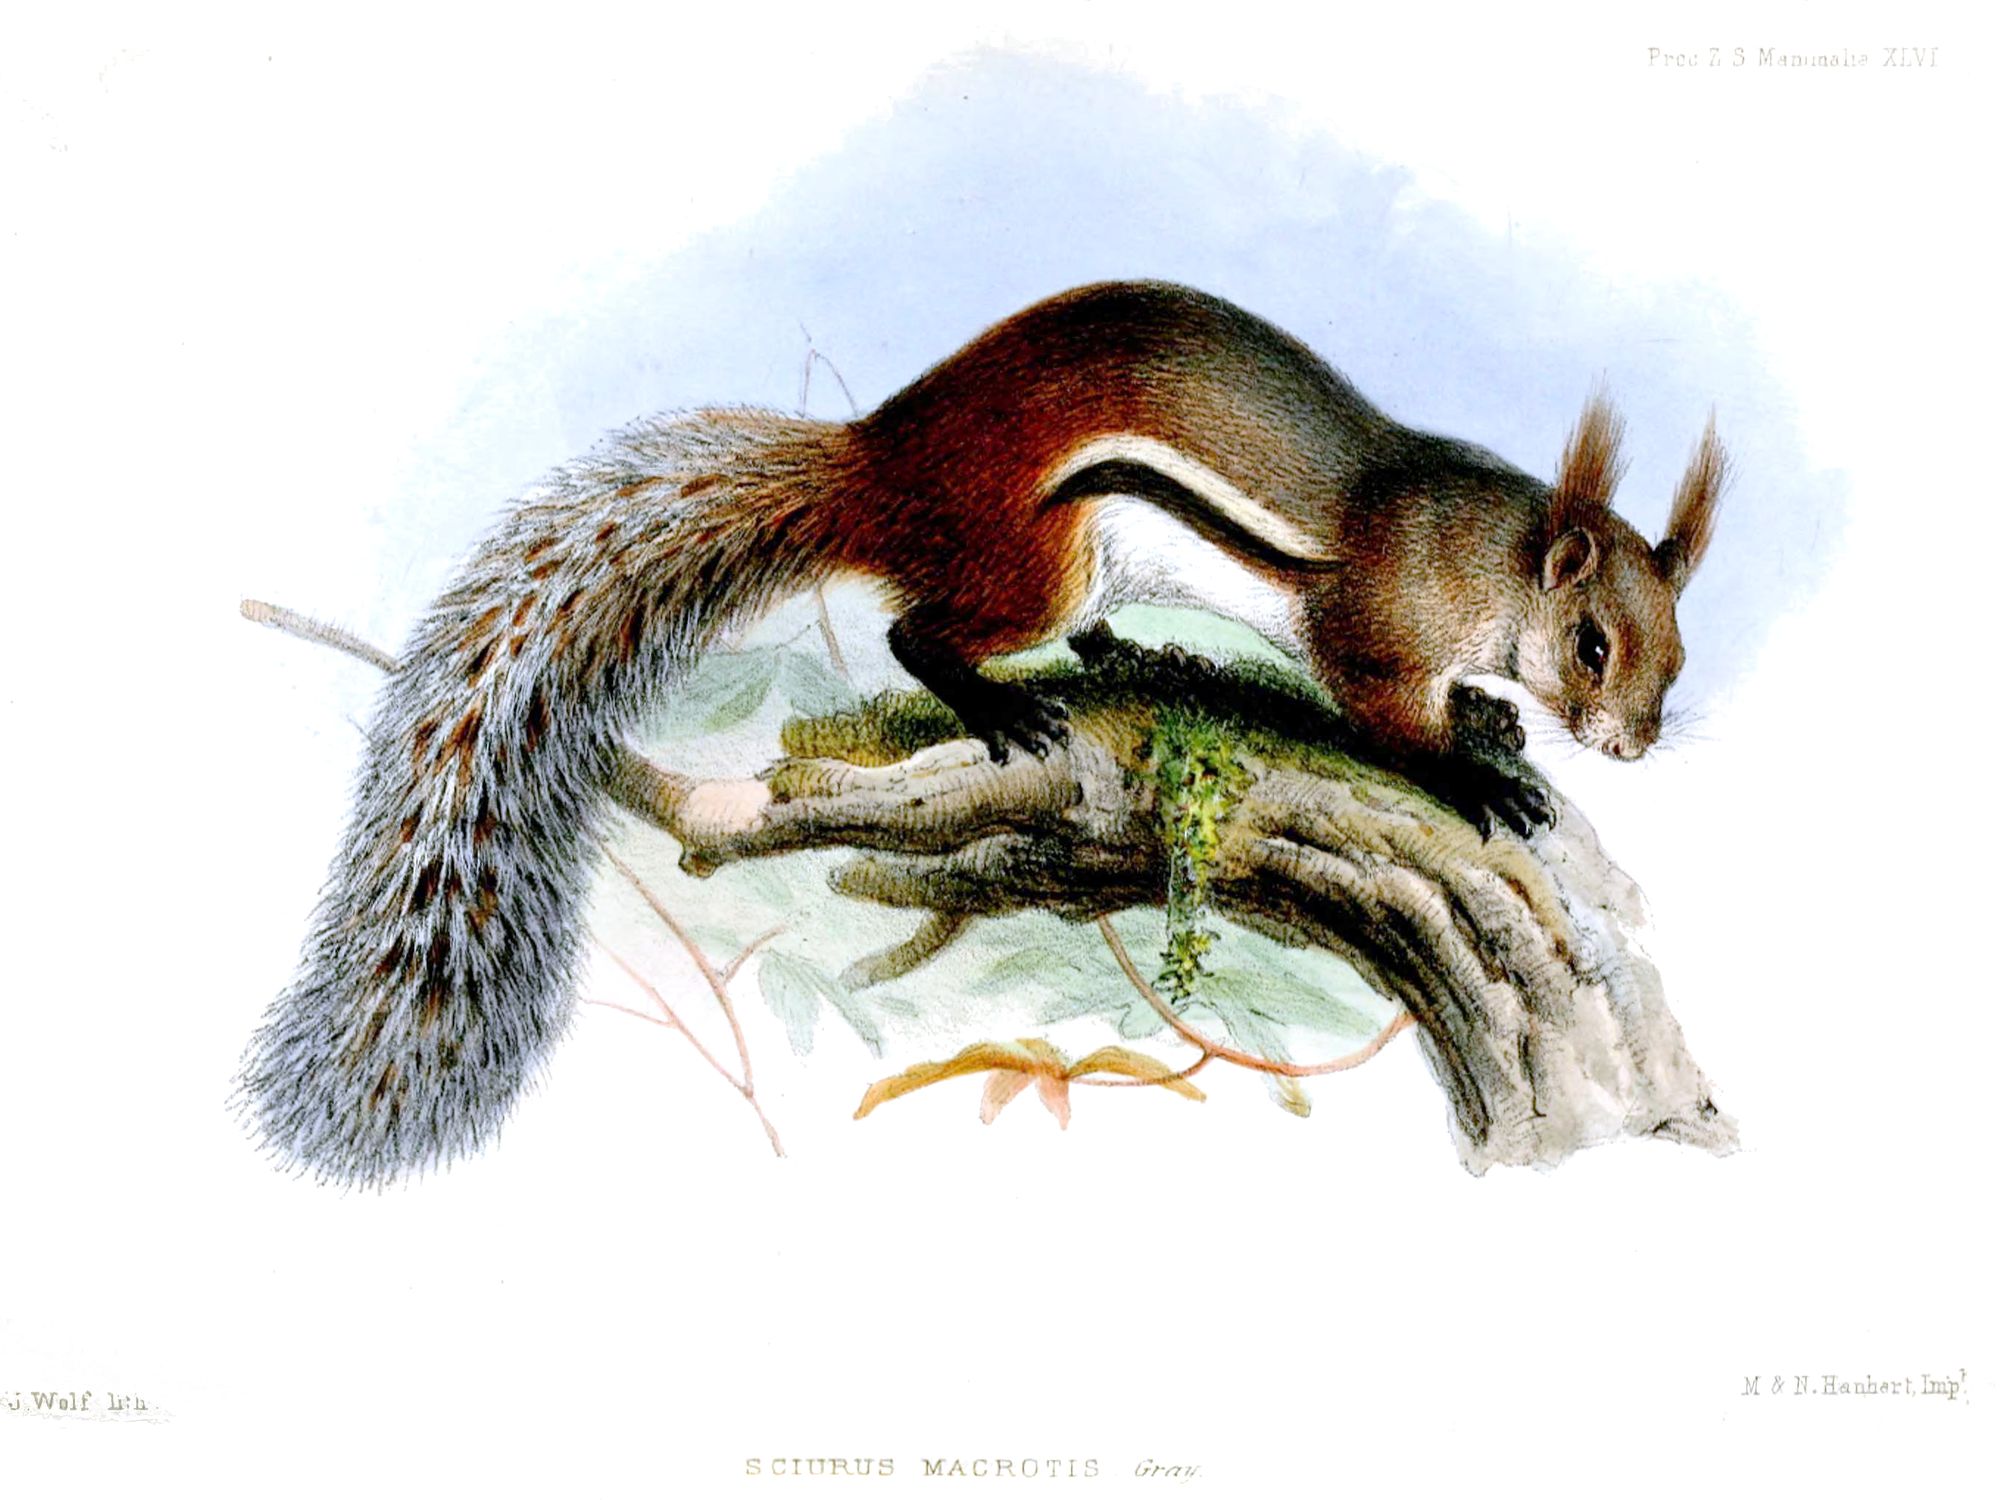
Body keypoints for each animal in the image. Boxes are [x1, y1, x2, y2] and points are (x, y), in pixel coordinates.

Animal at [239, 280, 1728, 1185]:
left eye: (1674, 649)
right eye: (1593, 645)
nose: (1630, 746)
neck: (1479, 560)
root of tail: (882, 473)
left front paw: (1488, 716)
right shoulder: (1370, 626)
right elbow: (1381, 714)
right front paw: (1477, 773)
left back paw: (1133, 656)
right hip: (1038, 557)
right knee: (922, 632)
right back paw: (1000, 698)